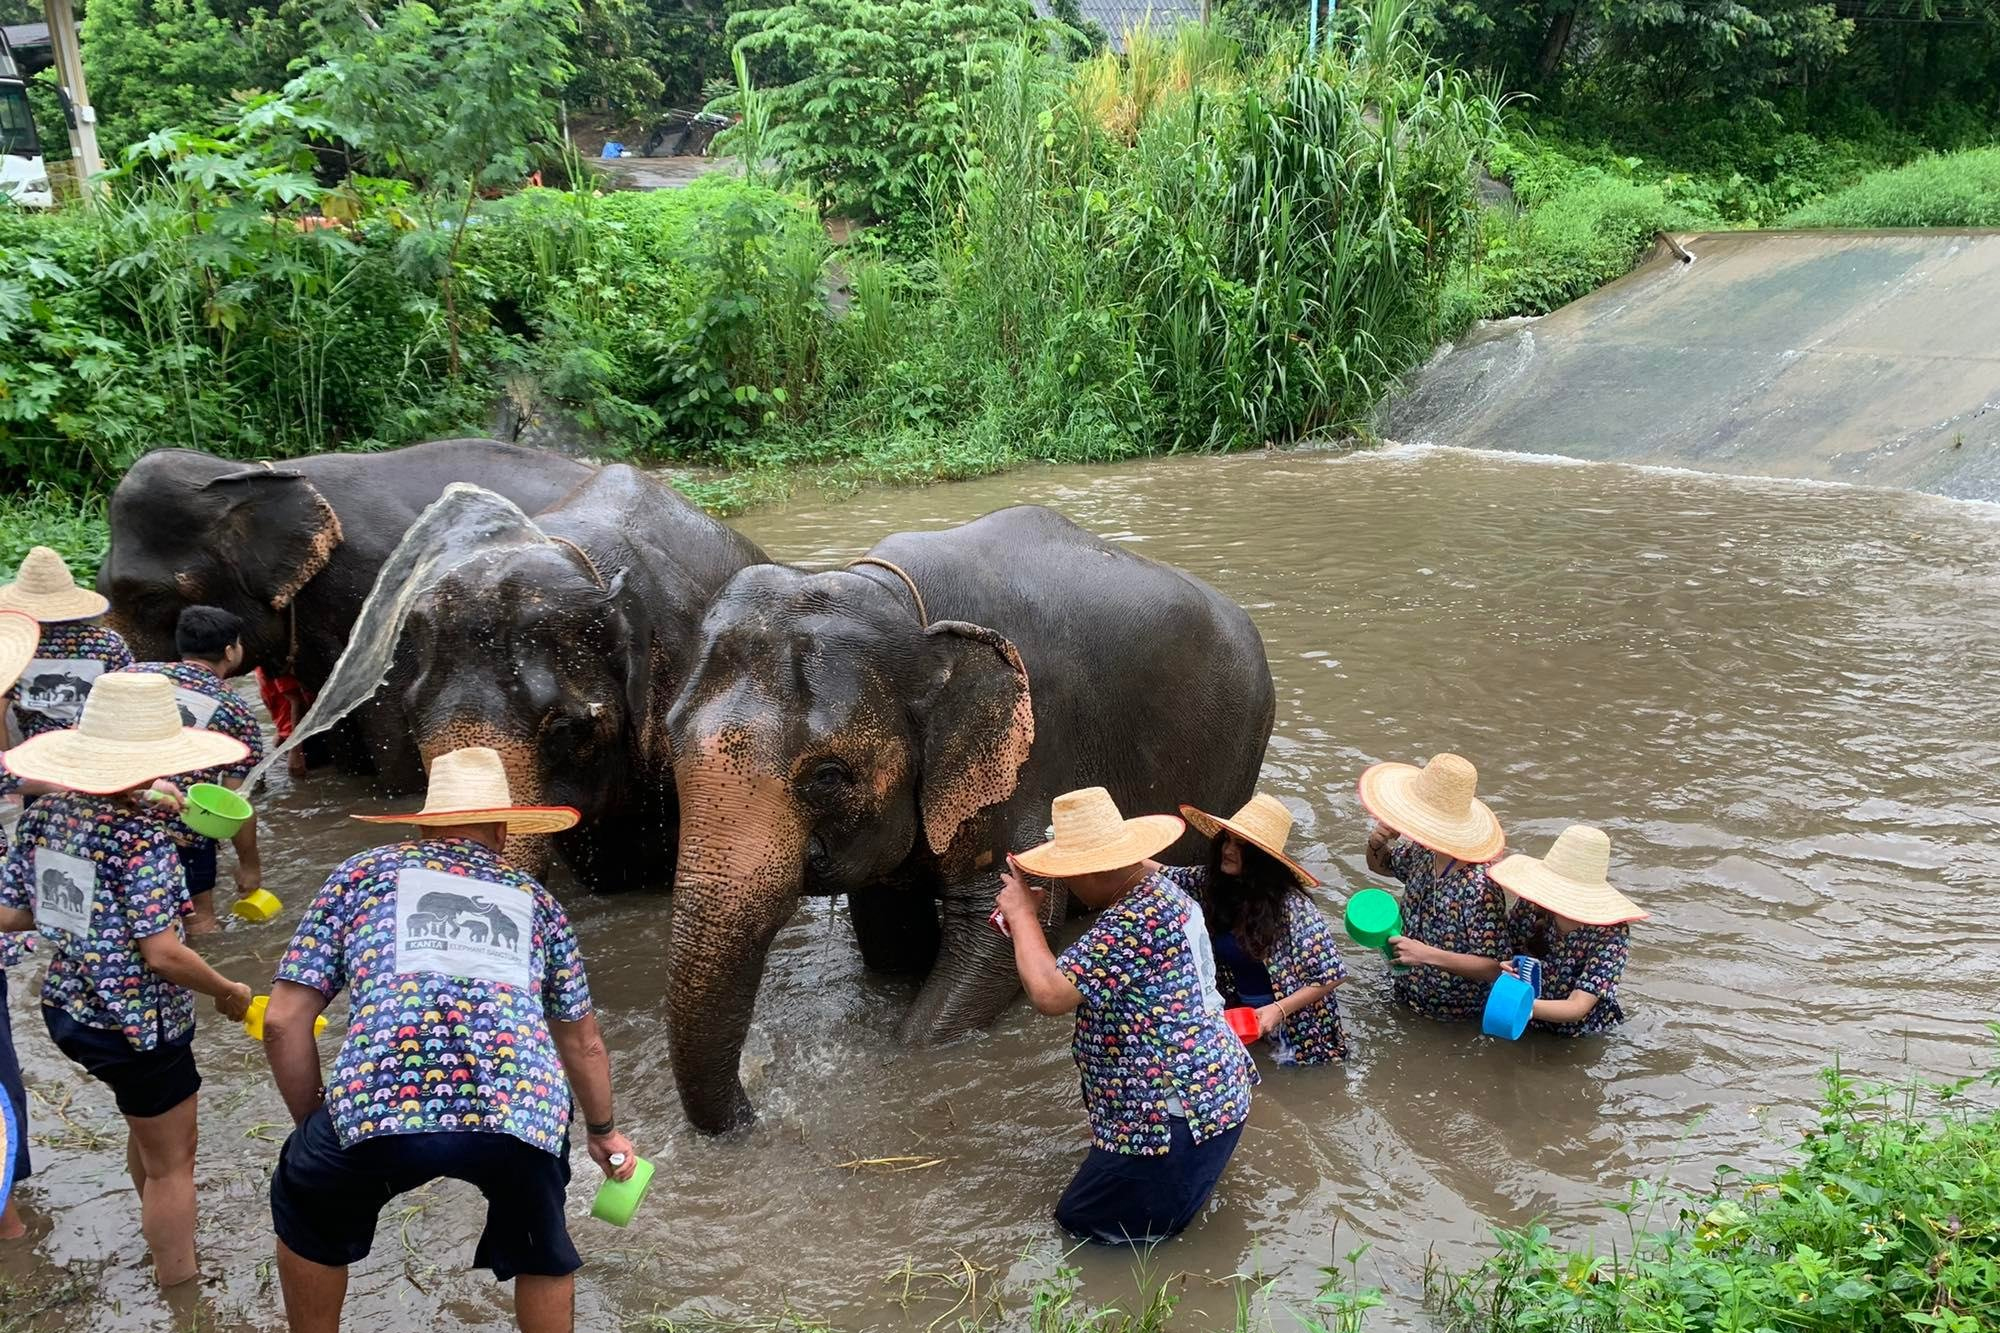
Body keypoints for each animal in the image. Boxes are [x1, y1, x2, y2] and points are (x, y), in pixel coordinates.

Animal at [664, 504, 1276, 1133]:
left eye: (828, 775)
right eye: (667, 744)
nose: (751, 1112)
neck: (894, 604)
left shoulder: (1028, 750)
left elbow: (998, 922)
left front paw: (901, 1054)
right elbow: (888, 930)